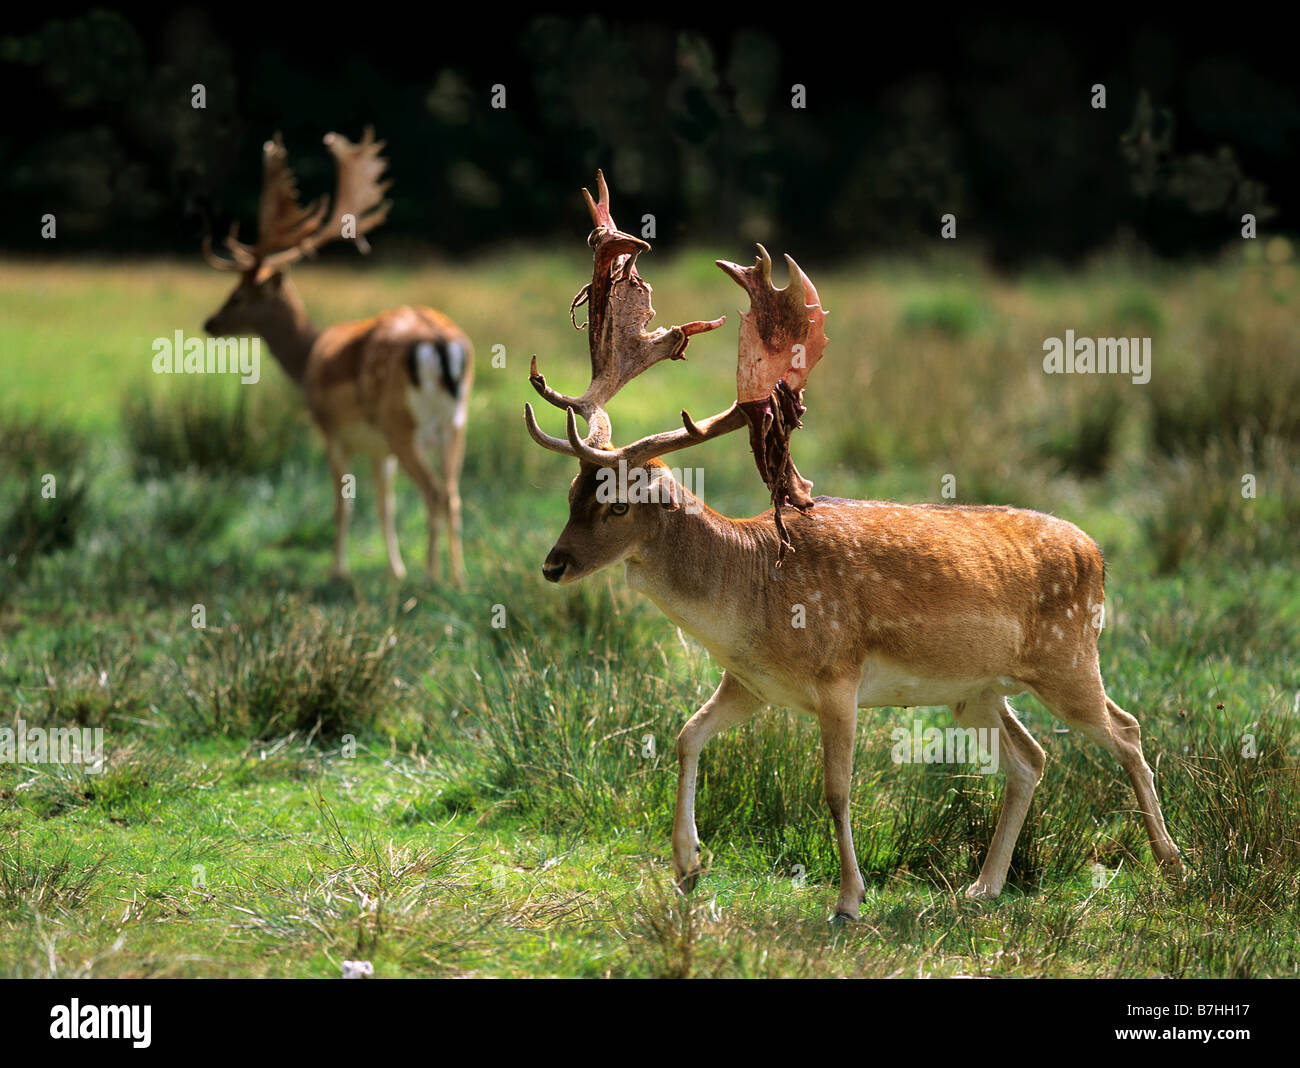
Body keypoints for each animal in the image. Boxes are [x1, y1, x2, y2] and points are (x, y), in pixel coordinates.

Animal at [202, 128, 473, 585]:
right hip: (455, 424)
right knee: (453, 493)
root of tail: (440, 341)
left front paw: (339, 571)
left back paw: (433, 577)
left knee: (435, 492)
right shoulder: (378, 449)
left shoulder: (331, 431)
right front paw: (395, 570)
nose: (210, 322)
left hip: (401, 423)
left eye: (238, 295)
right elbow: (384, 504)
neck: (309, 355)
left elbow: (343, 504)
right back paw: (458, 578)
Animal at [524, 172, 1183, 920]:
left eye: (615, 501)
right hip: (980, 689)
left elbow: (836, 789)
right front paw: (688, 864)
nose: (553, 564)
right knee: (1032, 757)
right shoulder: (751, 684)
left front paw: (847, 899)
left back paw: (1173, 863)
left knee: (1126, 730)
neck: (753, 598)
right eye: (570, 493)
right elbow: (687, 734)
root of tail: (1097, 554)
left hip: (1070, 658)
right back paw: (983, 885)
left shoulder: (838, 673)